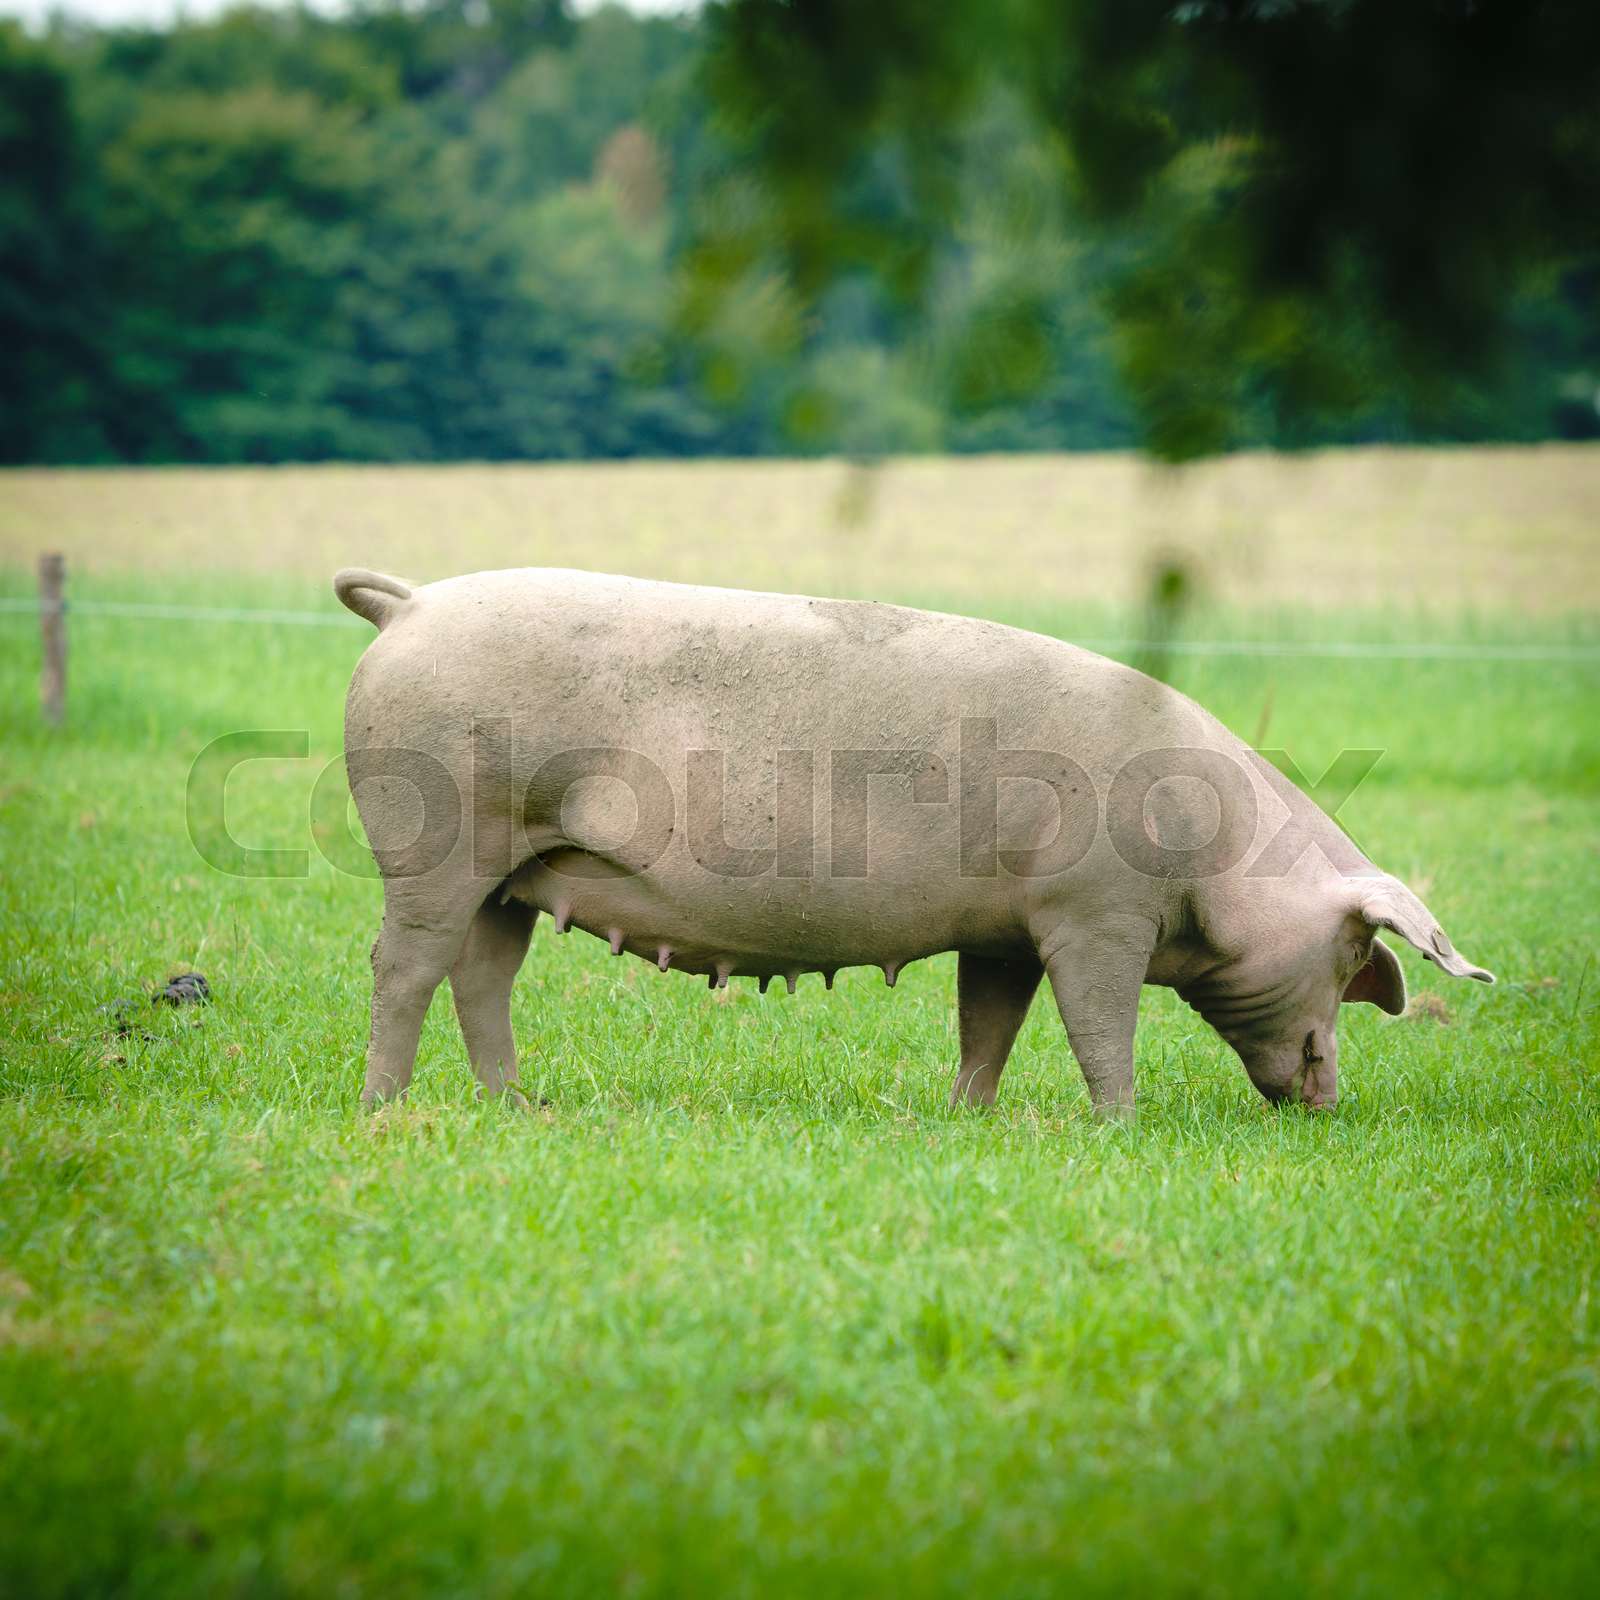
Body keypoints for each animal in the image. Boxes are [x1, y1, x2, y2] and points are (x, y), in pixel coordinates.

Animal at [335, 566, 1493, 1116]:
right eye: (1353, 951)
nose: (1326, 1102)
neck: (1214, 854)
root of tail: (411, 605)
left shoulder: (1003, 929)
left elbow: (989, 1026)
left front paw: (965, 1117)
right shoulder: (1093, 913)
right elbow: (1098, 1024)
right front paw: (1119, 1126)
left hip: (517, 872)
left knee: (484, 974)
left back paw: (516, 1106)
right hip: (440, 835)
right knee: (405, 963)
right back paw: (384, 1106)